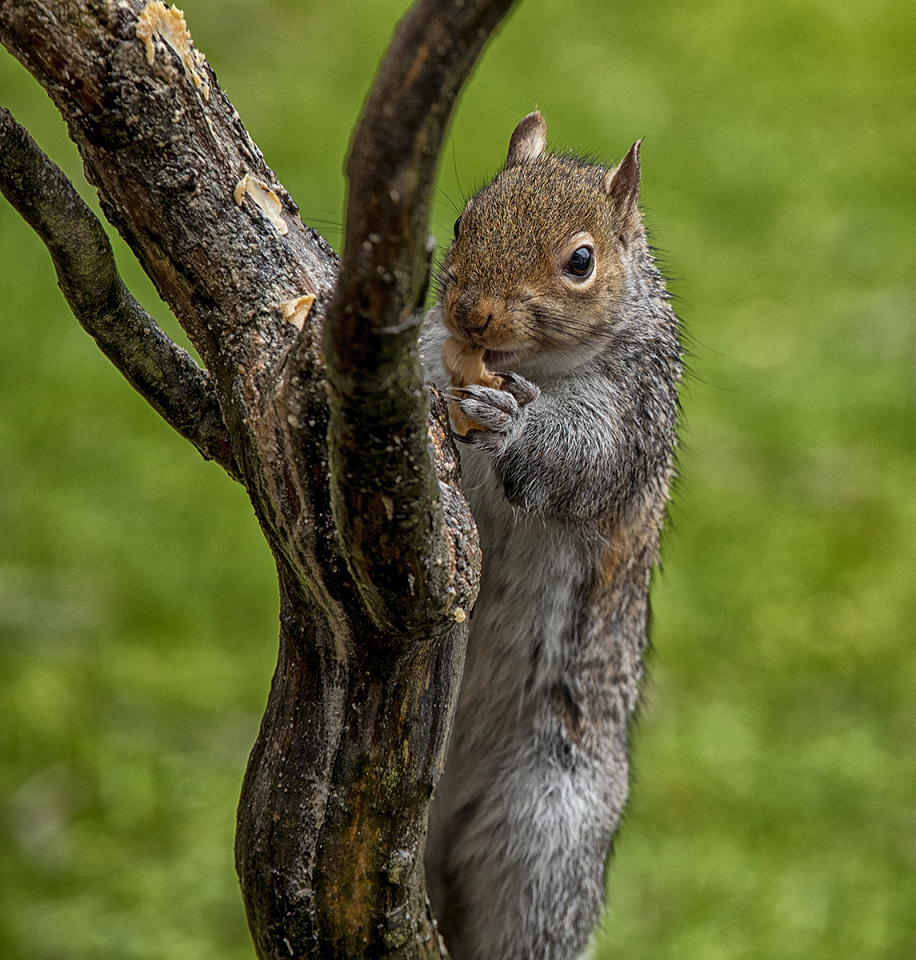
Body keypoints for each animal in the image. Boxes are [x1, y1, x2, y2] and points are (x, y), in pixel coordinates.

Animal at [422, 111, 682, 960]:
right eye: (464, 220)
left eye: (580, 262)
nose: (471, 312)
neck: (519, 364)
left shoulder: (633, 415)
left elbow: (582, 457)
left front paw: (513, 426)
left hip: (548, 832)